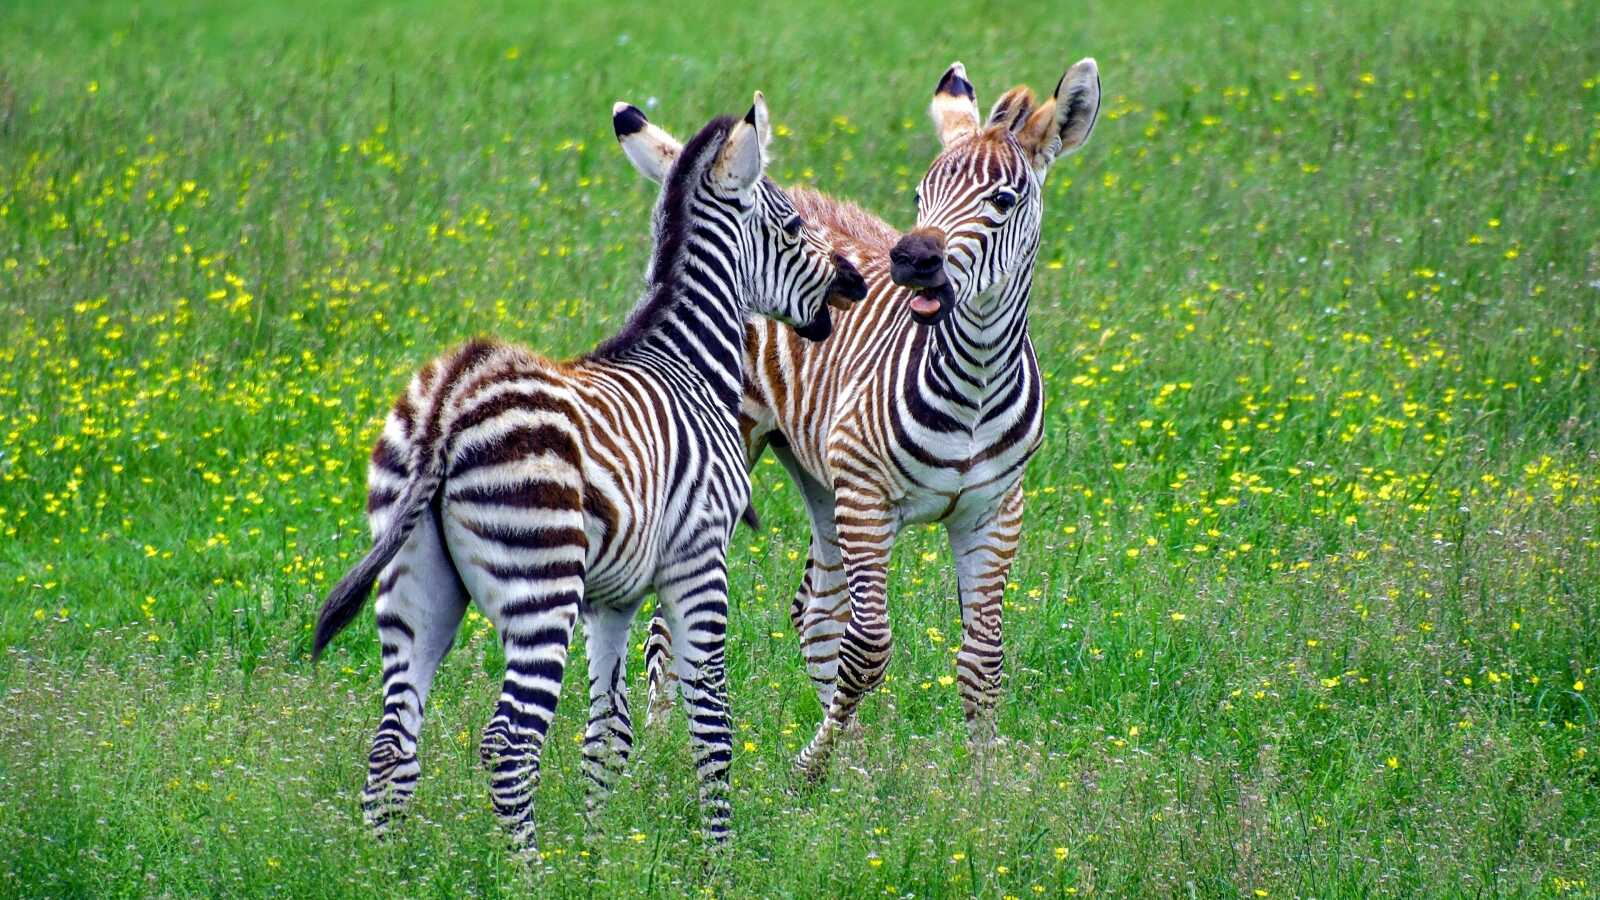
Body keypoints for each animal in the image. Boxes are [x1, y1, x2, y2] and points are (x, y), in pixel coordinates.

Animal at [310, 93, 867, 852]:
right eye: (792, 225)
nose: (855, 283)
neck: (688, 360)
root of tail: (449, 403)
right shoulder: (699, 560)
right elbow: (713, 724)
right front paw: (717, 855)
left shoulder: (615, 597)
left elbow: (608, 733)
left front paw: (598, 852)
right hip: (541, 585)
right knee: (509, 741)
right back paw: (528, 868)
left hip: (416, 586)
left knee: (393, 739)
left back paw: (388, 866)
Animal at [637, 59, 1102, 779]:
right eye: (919, 195)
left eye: (1002, 201)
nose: (910, 258)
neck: (976, 378)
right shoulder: (867, 496)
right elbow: (870, 647)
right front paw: (809, 769)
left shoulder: (995, 510)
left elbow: (982, 659)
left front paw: (982, 782)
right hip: (738, 448)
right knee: (677, 615)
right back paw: (660, 744)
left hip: (816, 472)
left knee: (813, 612)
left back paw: (853, 763)